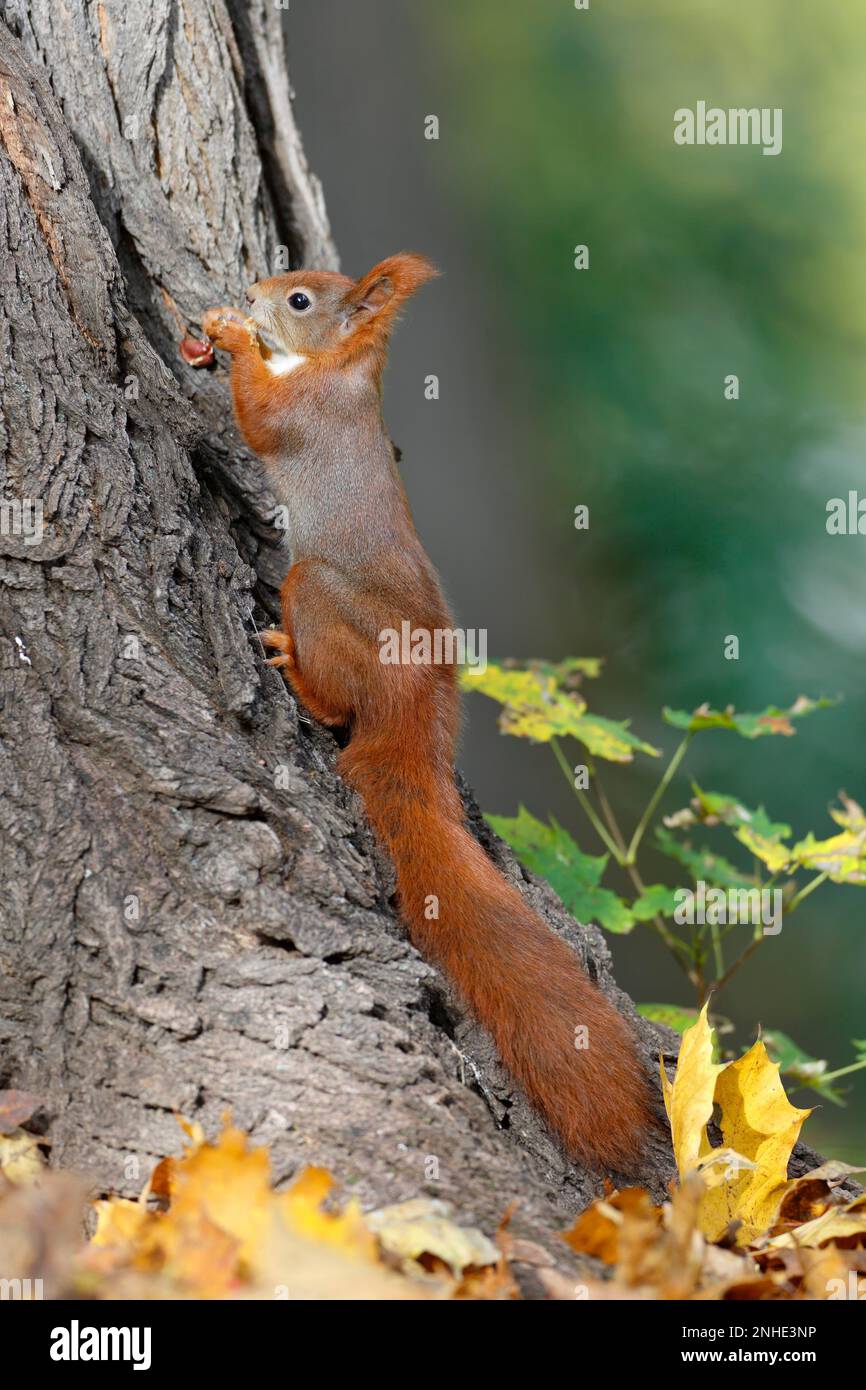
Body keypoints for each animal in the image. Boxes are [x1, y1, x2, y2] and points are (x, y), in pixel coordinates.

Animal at [201, 253, 656, 1172]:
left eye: (300, 298)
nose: (254, 289)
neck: (341, 369)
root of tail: (413, 722)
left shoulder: (301, 414)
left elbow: (259, 416)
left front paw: (229, 333)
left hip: (317, 592)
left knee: (332, 694)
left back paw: (295, 669)